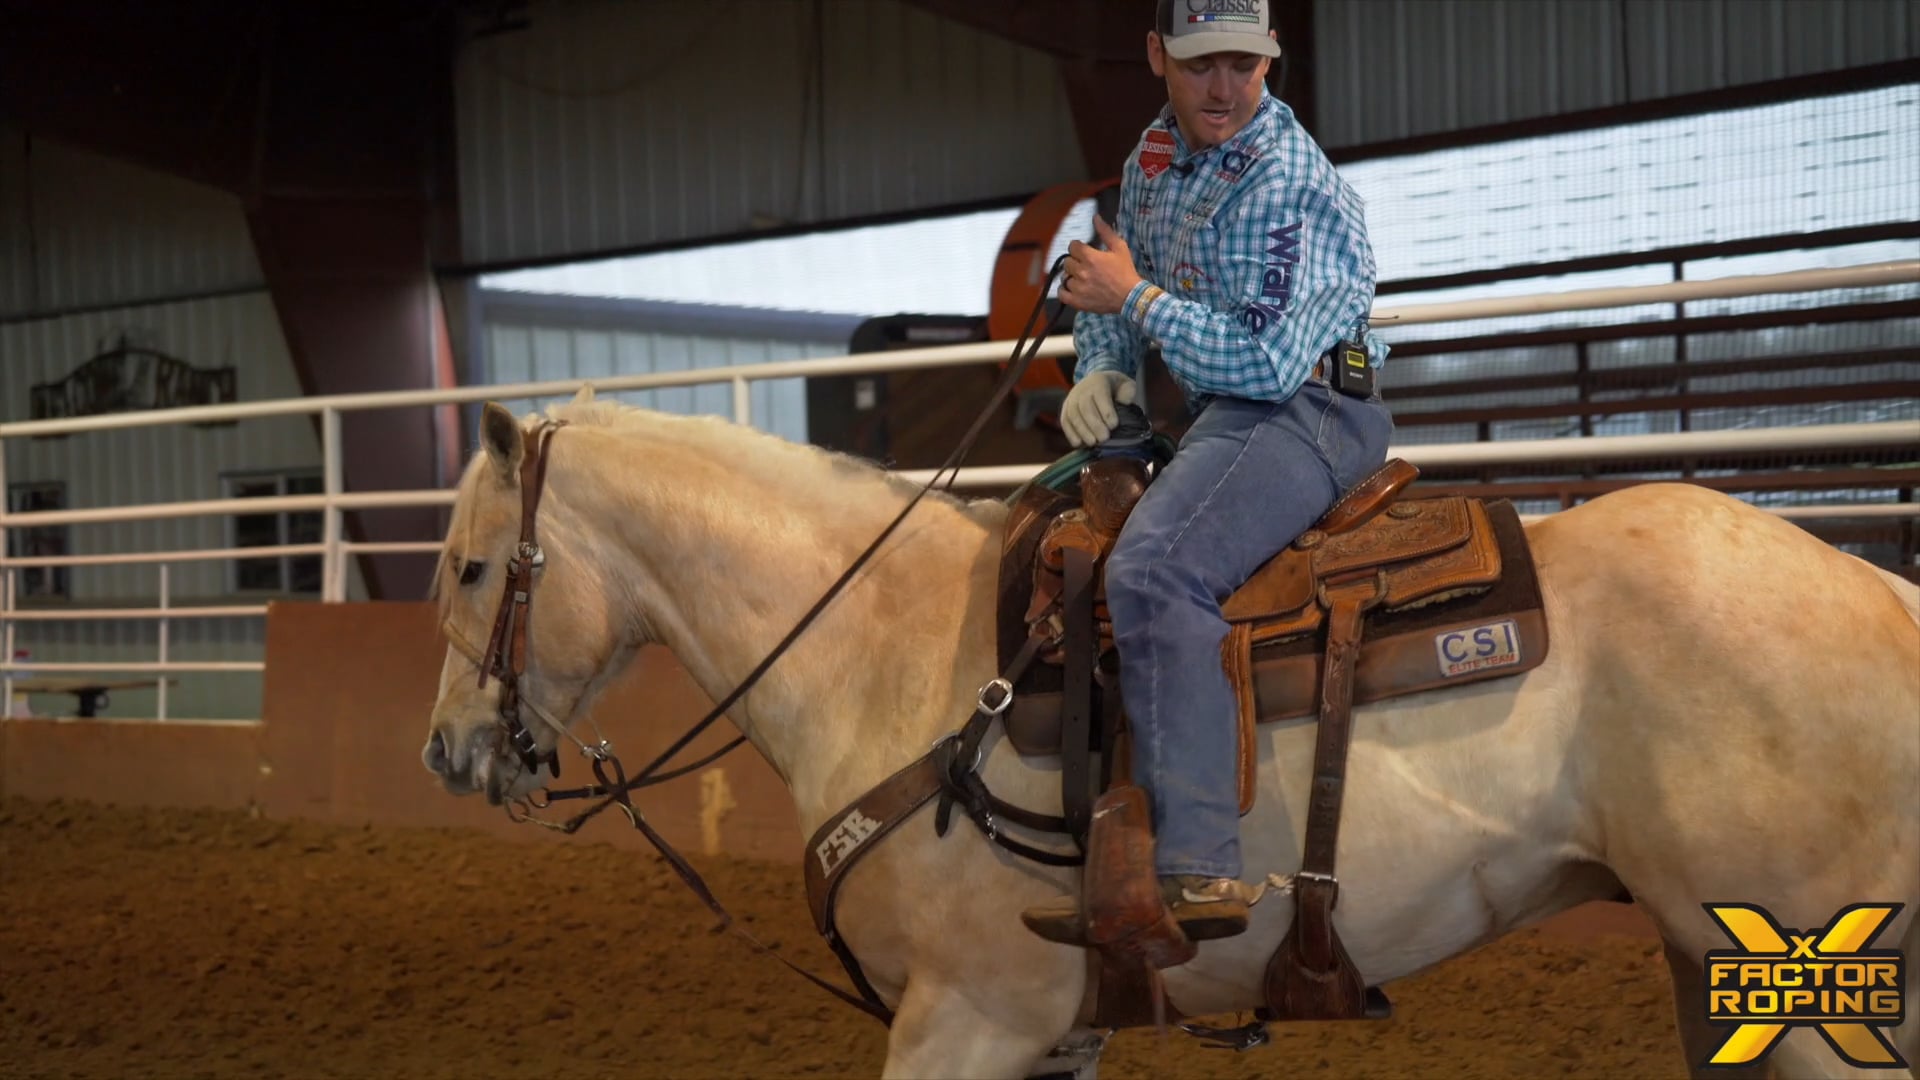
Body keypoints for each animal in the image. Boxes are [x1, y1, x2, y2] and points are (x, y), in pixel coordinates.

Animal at [420, 388, 1918, 1080]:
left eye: (471, 568)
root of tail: (1881, 591)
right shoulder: (1054, 1034)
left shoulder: (966, 1019)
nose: (445, 754)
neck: (886, 655)